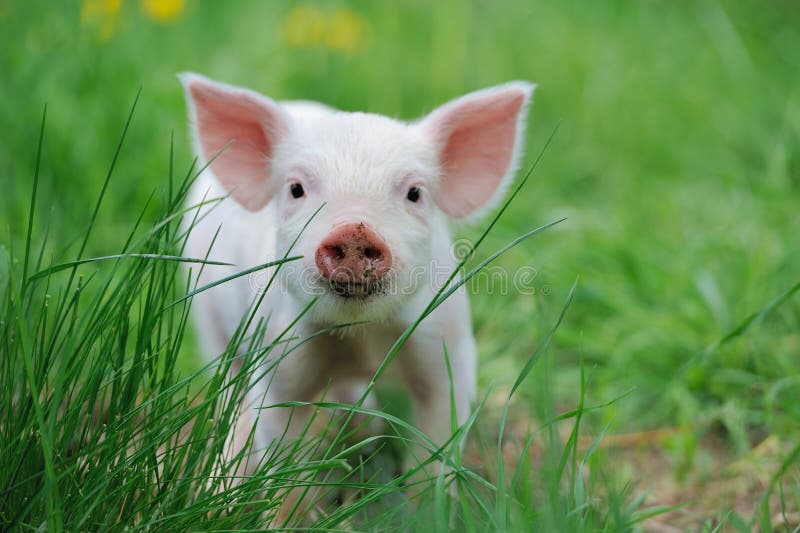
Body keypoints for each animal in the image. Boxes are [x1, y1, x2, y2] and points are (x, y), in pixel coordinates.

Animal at [179, 73, 534, 502]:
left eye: (415, 193)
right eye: (296, 188)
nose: (353, 230)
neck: (359, 334)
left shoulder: (449, 347)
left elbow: (435, 446)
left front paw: (426, 506)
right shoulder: (277, 353)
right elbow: (281, 448)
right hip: (207, 315)